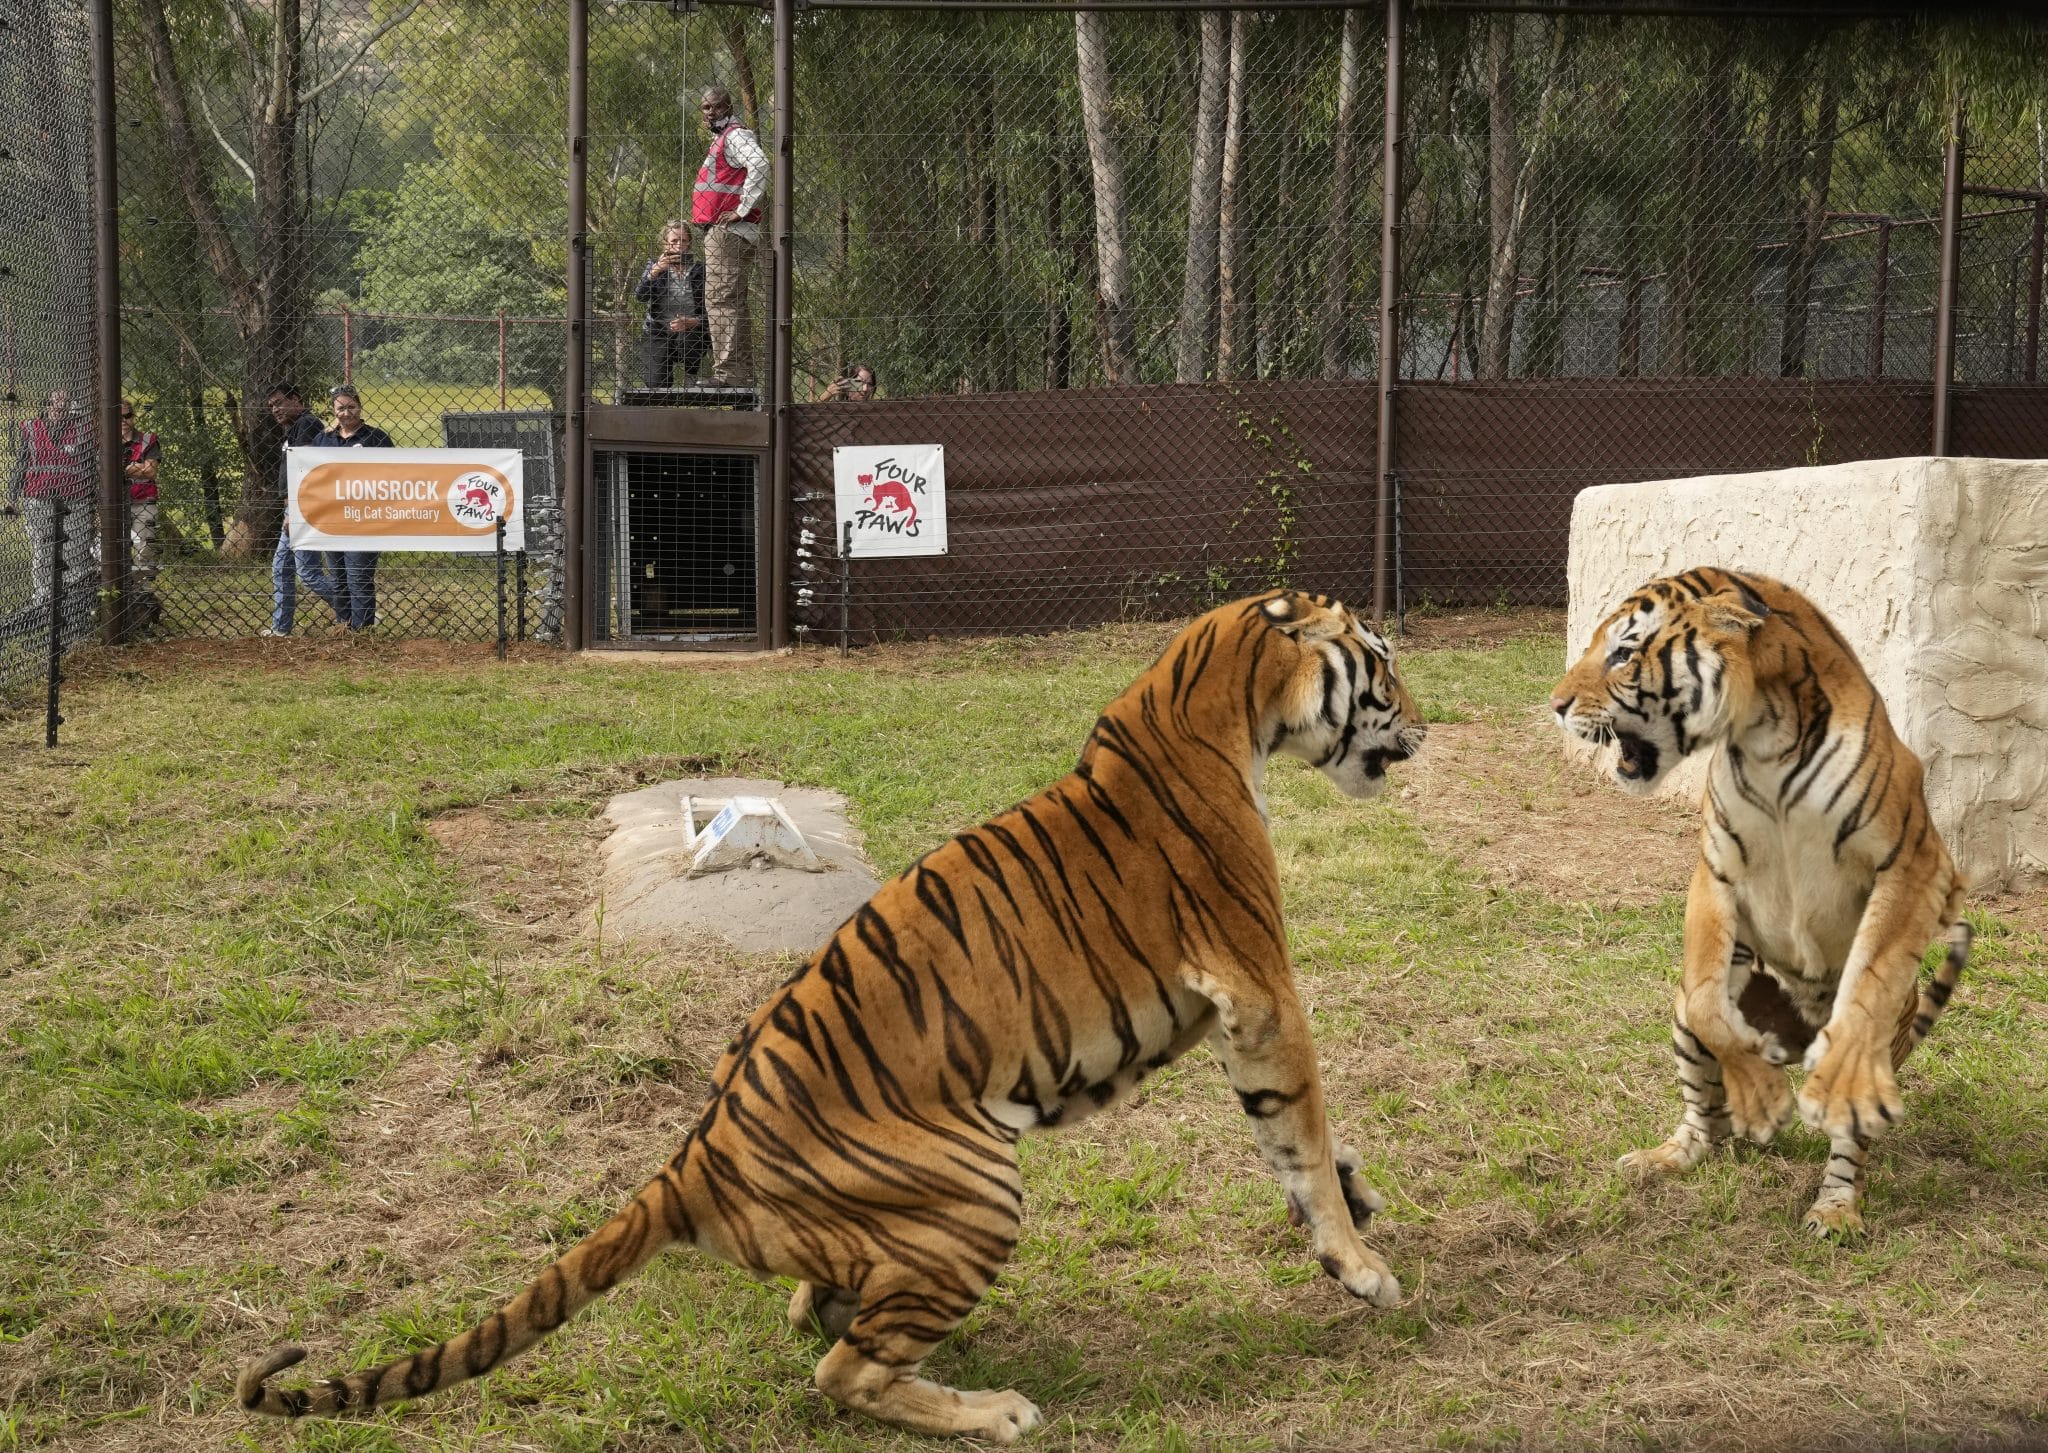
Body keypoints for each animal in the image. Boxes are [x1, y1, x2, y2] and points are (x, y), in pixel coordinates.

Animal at [239, 590, 1428, 1443]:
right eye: (1382, 663)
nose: (1429, 723)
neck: (1214, 700)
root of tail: (694, 1159)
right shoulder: (1260, 990)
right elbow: (1300, 1127)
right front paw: (1363, 1267)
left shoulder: (1243, 1011)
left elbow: (1297, 1134)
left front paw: (1358, 1201)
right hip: (980, 1191)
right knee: (839, 1367)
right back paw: (992, 1410)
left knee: (821, 1310)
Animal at [1551, 566, 1969, 1237]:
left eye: (1622, 652)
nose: (1556, 706)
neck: (1764, 734)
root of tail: (1797, 1042)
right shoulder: (1717, 870)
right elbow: (1707, 1004)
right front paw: (1759, 1096)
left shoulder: (1915, 863)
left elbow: (1872, 978)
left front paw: (1831, 1083)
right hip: (1688, 1030)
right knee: (1707, 1120)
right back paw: (1665, 1156)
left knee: (1847, 1135)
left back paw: (1835, 1208)